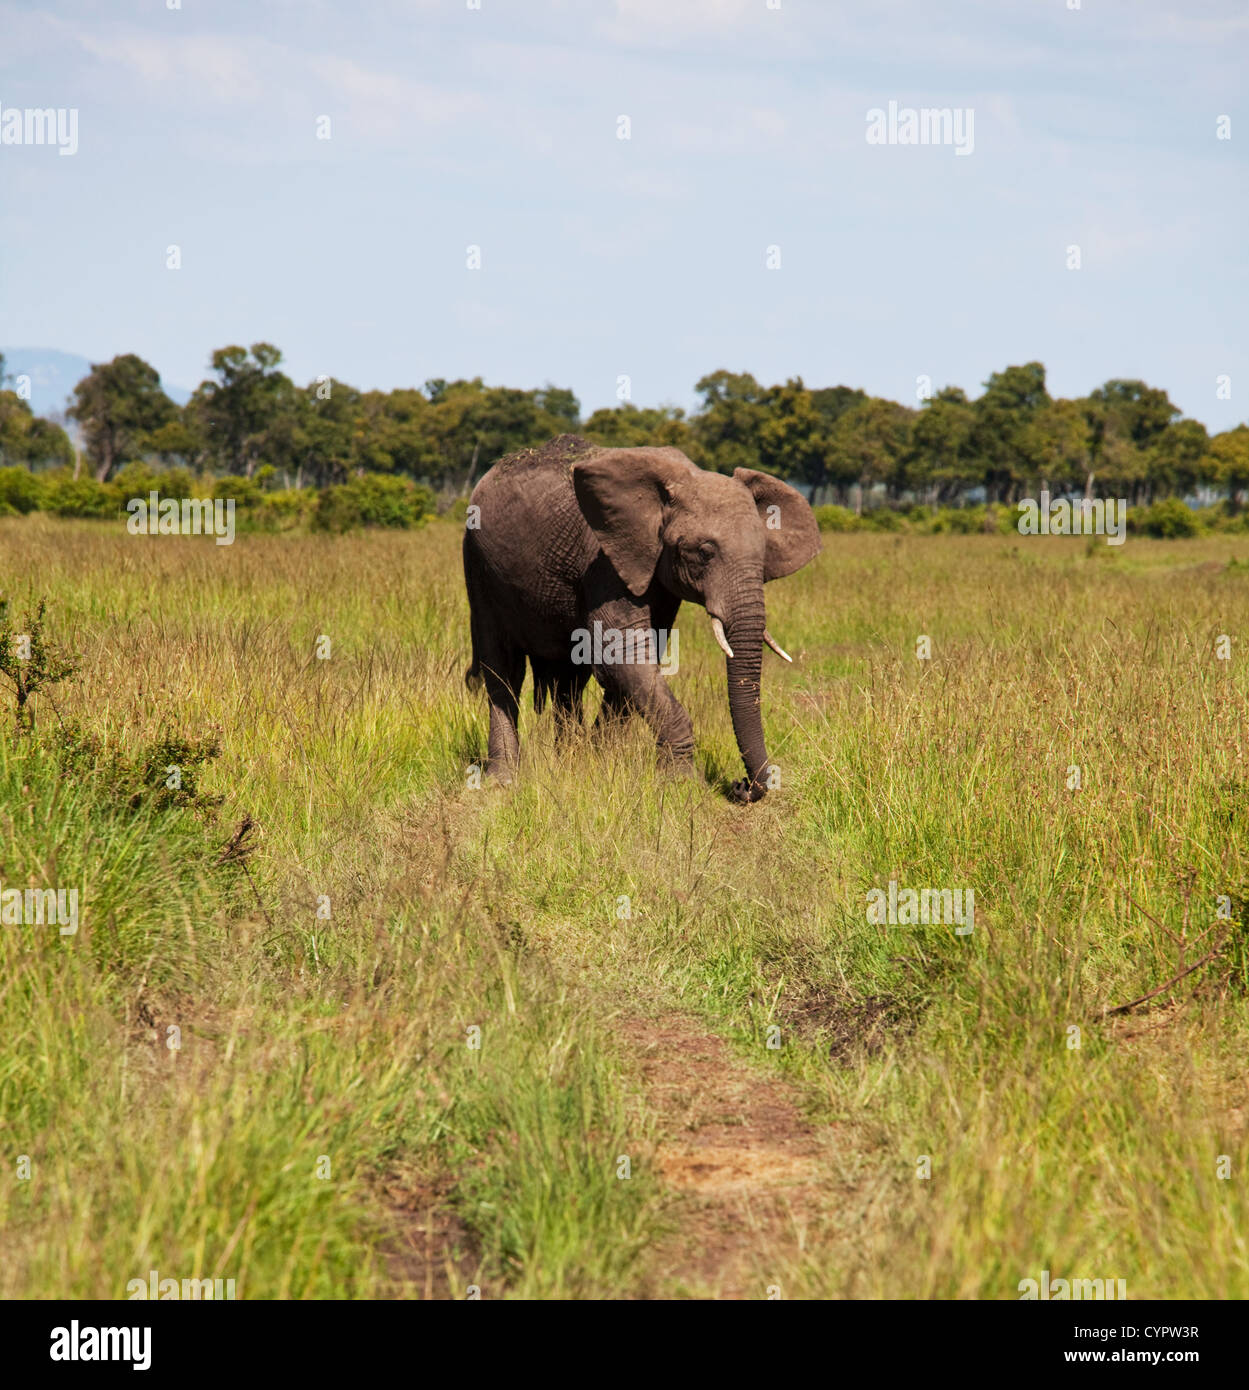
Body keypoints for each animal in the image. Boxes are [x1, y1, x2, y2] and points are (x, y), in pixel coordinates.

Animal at [461, 433, 820, 803]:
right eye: (704, 553)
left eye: (763, 554)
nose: (741, 786)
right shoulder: (604, 560)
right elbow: (623, 654)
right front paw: (682, 783)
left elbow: (632, 664)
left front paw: (601, 764)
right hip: (478, 564)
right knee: (503, 669)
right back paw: (503, 779)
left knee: (569, 679)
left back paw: (566, 761)